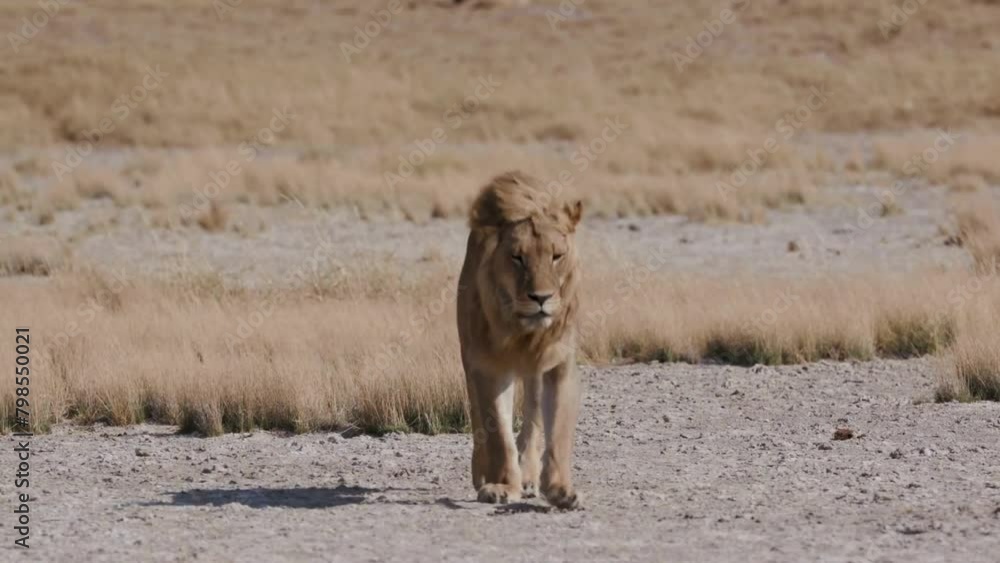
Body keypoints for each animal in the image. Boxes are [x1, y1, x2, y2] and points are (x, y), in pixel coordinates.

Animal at [456, 171, 583, 509]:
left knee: (533, 418)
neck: (523, 332)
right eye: (517, 258)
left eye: (557, 256)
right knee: (478, 416)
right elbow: (498, 432)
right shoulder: (488, 365)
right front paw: (501, 486)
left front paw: (560, 490)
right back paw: (484, 472)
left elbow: (557, 429)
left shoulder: (558, 364)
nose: (541, 298)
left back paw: (528, 474)